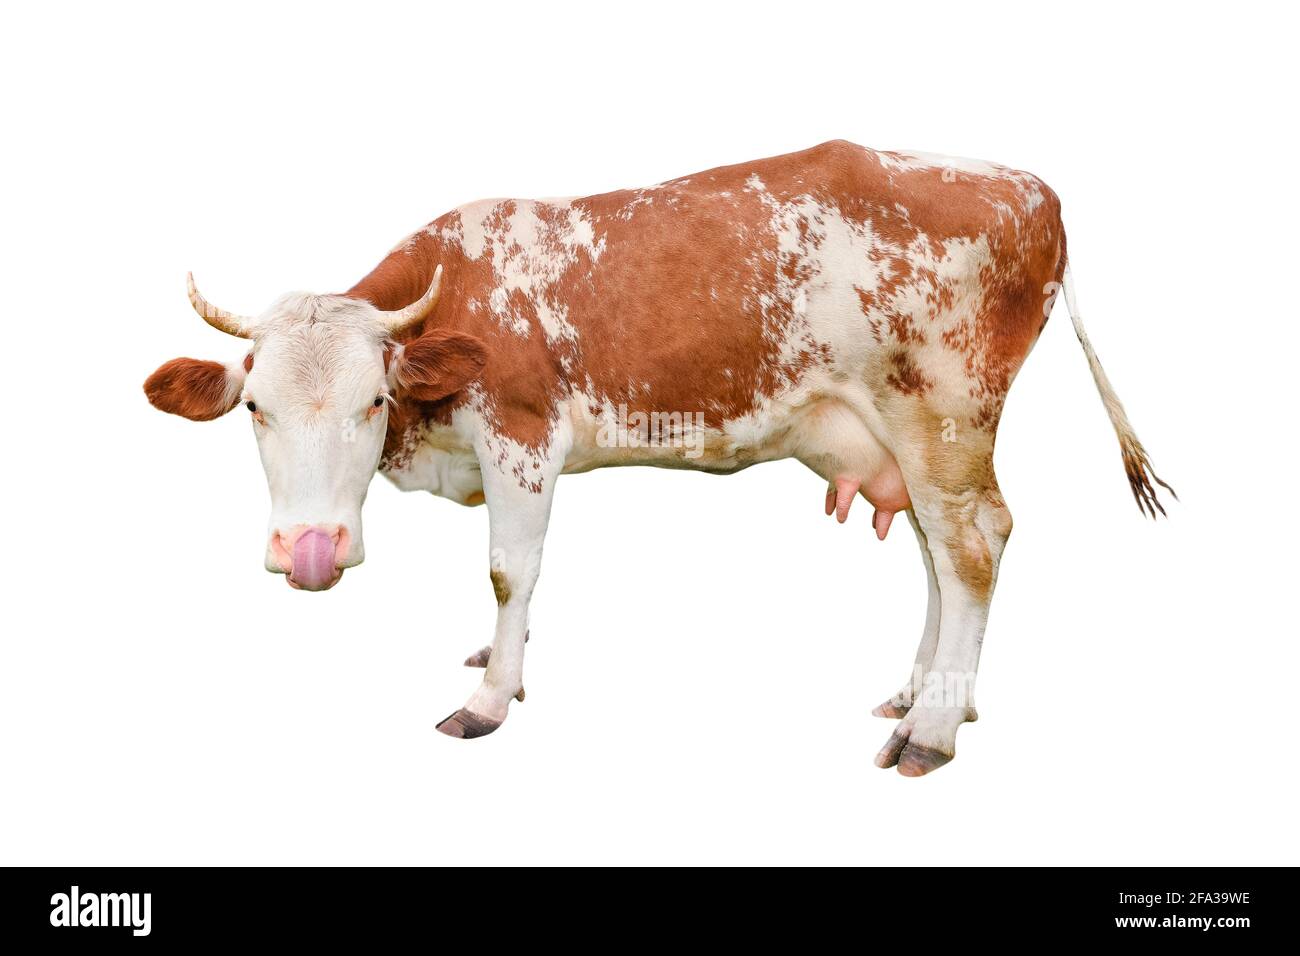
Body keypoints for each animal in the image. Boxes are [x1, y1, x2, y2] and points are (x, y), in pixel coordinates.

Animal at [144, 139, 1172, 775]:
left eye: (373, 402)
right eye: (256, 411)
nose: (309, 550)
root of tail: (1027, 183)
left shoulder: (523, 439)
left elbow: (509, 570)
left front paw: (491, 695)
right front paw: (498, 657)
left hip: (947, 418)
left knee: (973, 549)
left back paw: (933, 728)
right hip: (907, 440)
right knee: (936, 555)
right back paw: (923, 693)